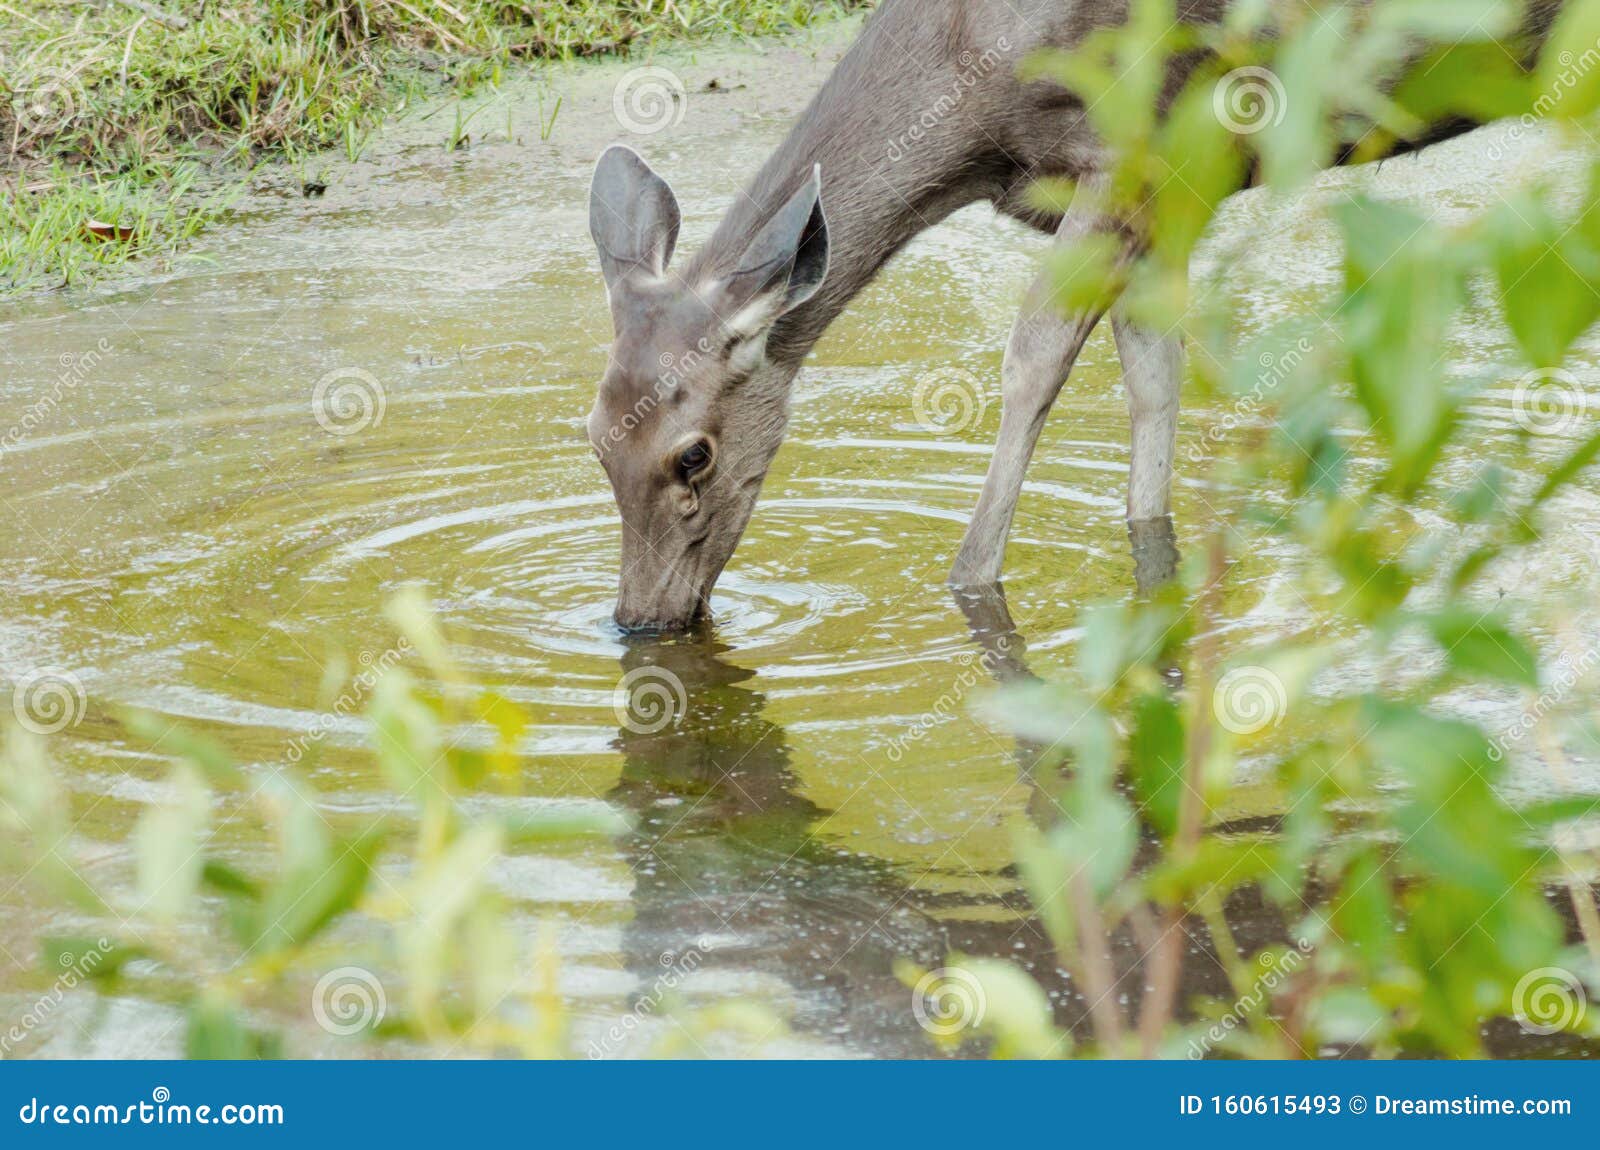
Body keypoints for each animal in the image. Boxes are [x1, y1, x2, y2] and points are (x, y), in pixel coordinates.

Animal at [587, 0, 1562, 631]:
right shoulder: (1155, 208)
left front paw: (970, 582)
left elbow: (1034, 355)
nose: (640, 617)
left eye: (694, 455)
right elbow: (1154, 377)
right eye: (594, 439)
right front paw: (1154, 565)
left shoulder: (1141, 148)